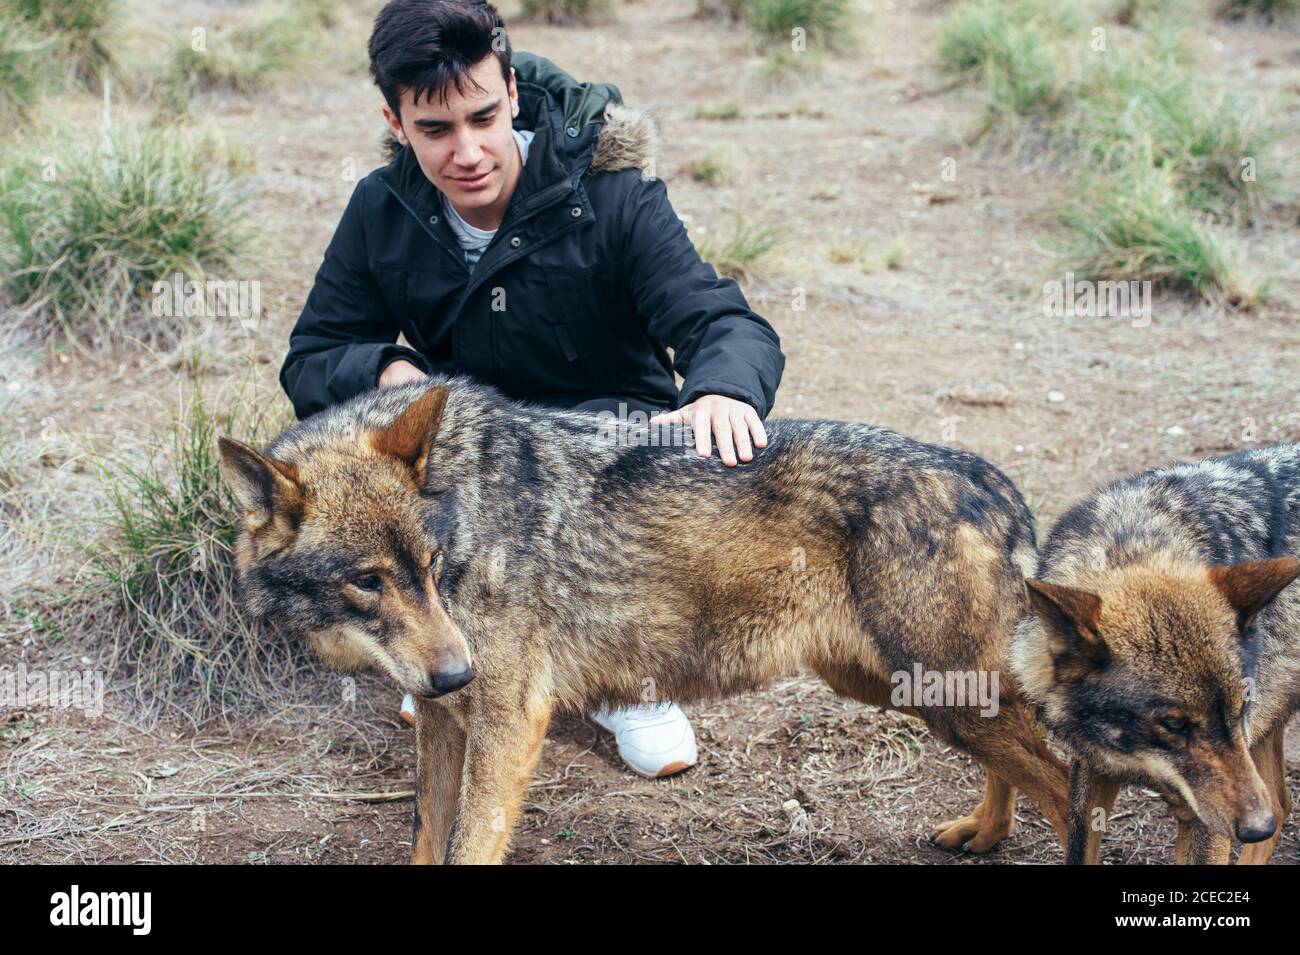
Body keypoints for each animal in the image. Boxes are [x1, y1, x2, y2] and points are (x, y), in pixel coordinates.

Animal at [219, 376, 1072, 863]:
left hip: (937, 691)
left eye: (428, 567)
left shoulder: (508, 718)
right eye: (367, 582)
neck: (462, 510)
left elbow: (471, 842)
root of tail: (994, 480)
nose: (458, 670)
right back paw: (984, 834)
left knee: (1068, 784)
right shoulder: (442, 716)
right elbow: (429, 835)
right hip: (904, 690)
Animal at [1011, 445, 1300, 864]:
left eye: (1240, 708)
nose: (1256, 827)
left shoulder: (1206, 823)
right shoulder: (1092, 770)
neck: (1133, 544)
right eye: (1175, 724)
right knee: (1280, 804)